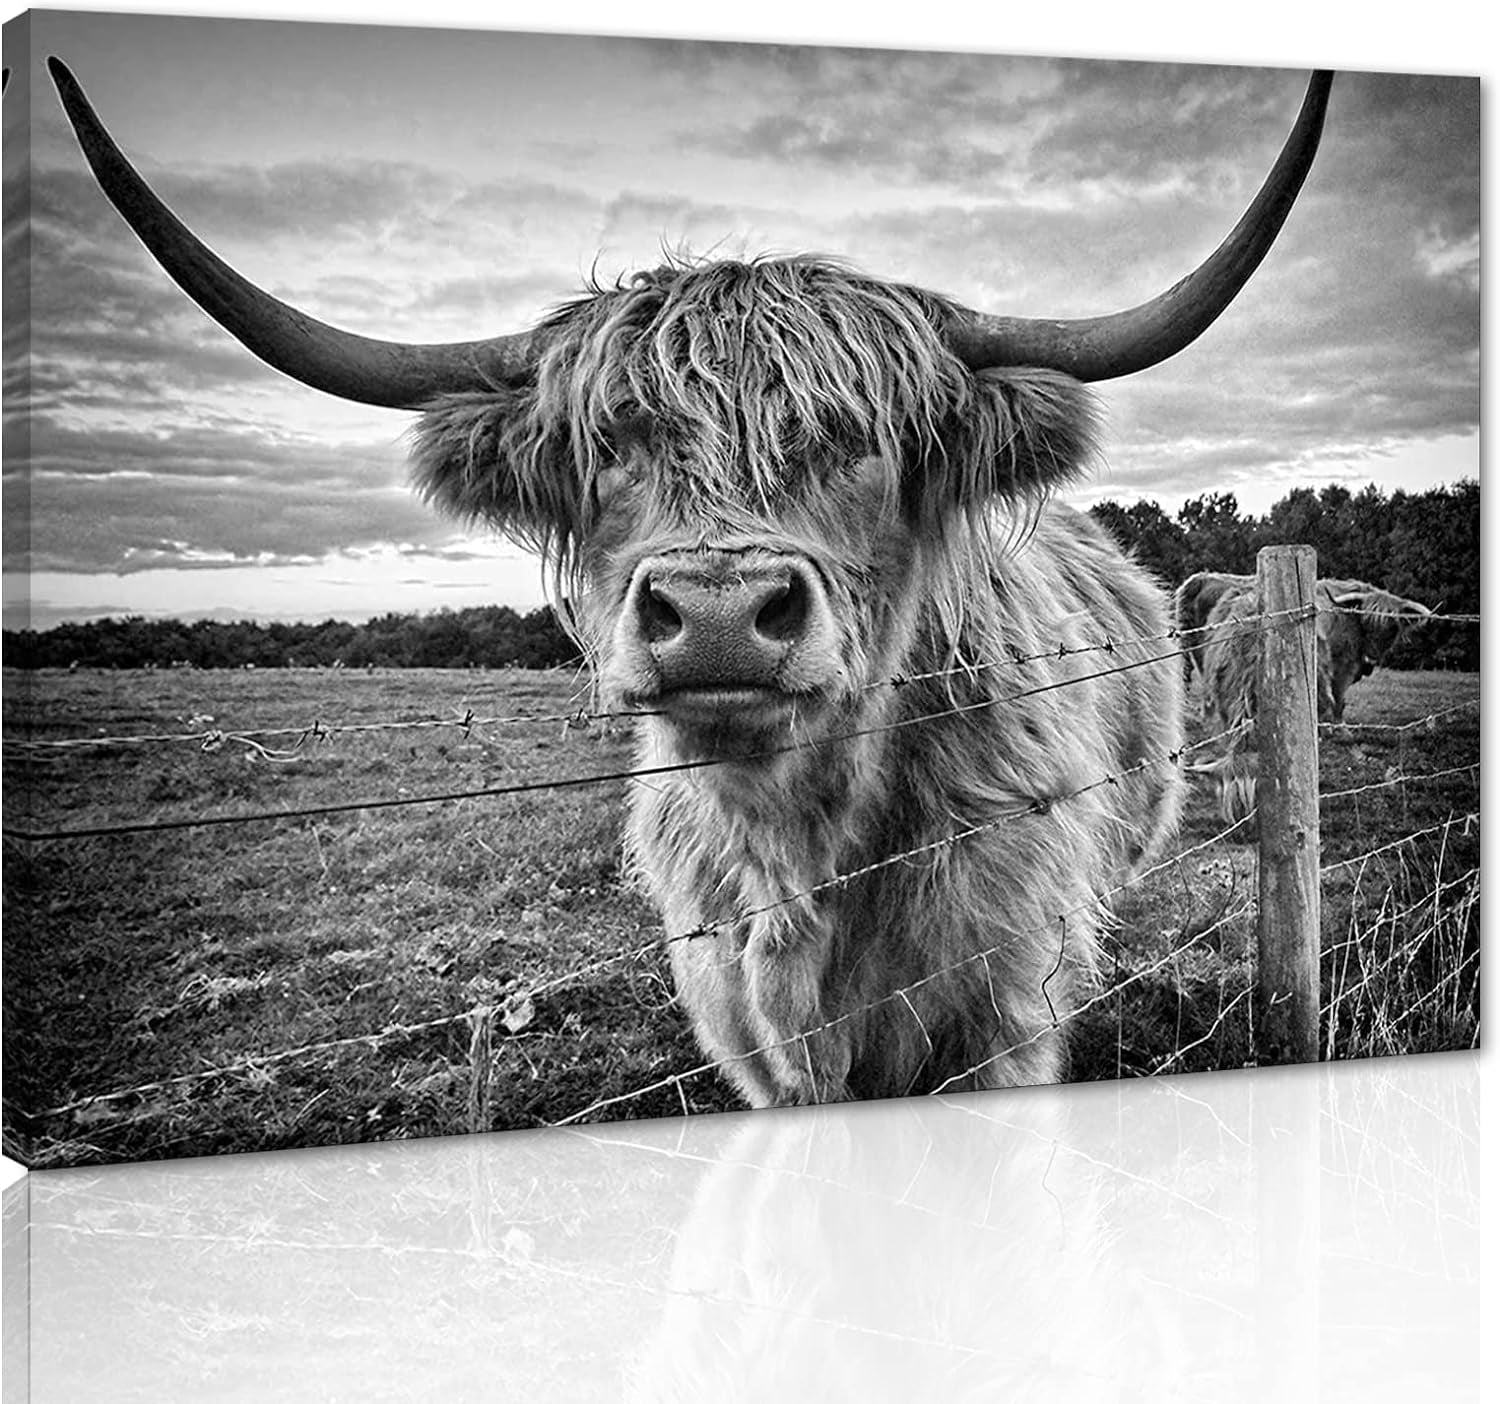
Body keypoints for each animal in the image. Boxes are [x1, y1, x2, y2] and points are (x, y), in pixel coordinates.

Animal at [47, 59, 1332, 1106]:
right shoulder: (742, 1032)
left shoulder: (1007, 1015)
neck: (799, 857)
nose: (718, 617)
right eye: (610, 446)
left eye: (861, 442)